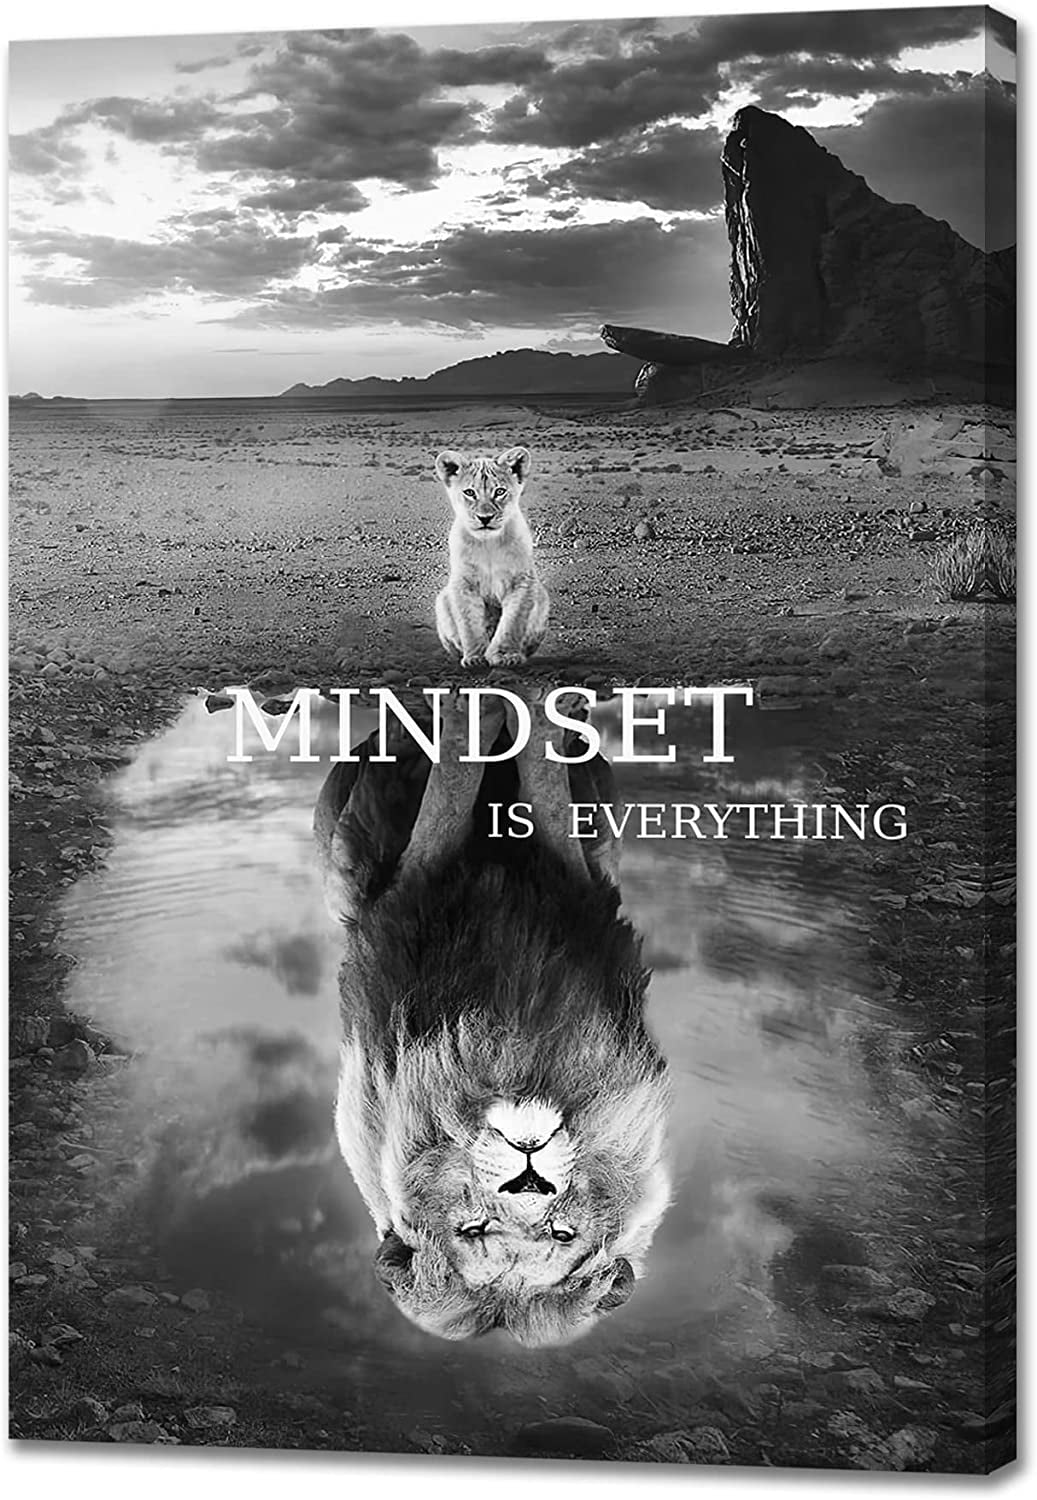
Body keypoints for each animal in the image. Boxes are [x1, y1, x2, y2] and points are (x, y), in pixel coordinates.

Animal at [313, 692, 671, 1345]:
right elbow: (457, 778)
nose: (530, 1174)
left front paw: (526, 711)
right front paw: (478, 712)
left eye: (561, 1233)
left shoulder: (577, 873)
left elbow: (542, 789)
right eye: (474, 1229)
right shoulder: (415, 876)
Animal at [433, 446, 549, 667]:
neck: (488, 545)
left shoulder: (521, 581)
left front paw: (505, 655)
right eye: (470, 492)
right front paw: (475, 657)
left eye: (500, 491)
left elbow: (512, 623)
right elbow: (469, 624)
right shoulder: (464, 583)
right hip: (442, 599)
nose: (485, 518)